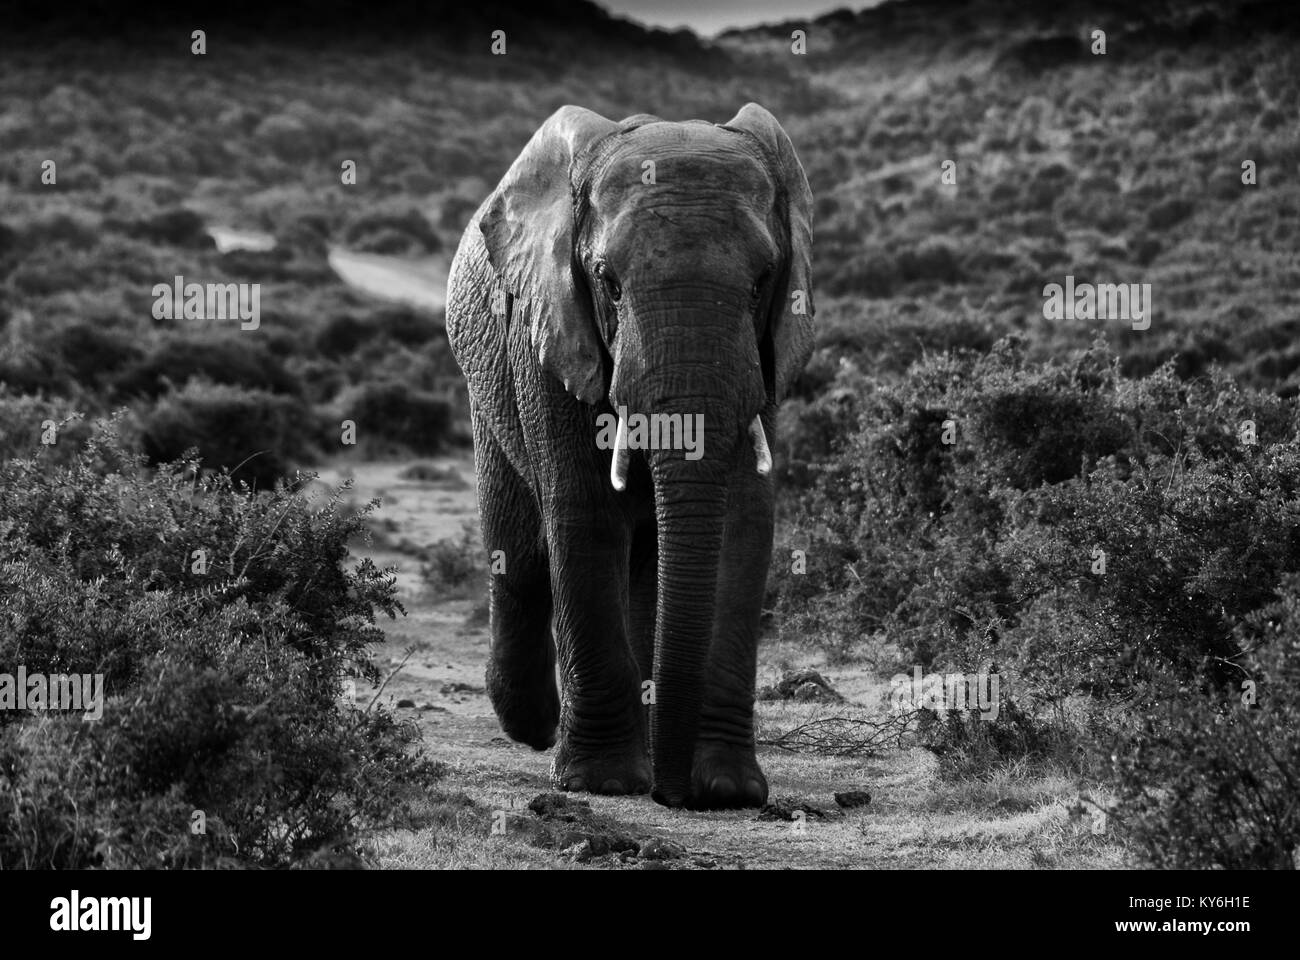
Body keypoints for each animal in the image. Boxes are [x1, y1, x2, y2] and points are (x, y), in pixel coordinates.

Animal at [445, 103, 814, 809]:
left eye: (761, 283)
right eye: (608, 283)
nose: (673, 797)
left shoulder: (764, 362)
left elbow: (741, 524)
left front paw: (725, 787)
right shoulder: (551, 336)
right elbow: (584, 516)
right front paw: (606, 782)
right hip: (486, 380)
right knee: (520, 559)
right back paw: (534, 726)